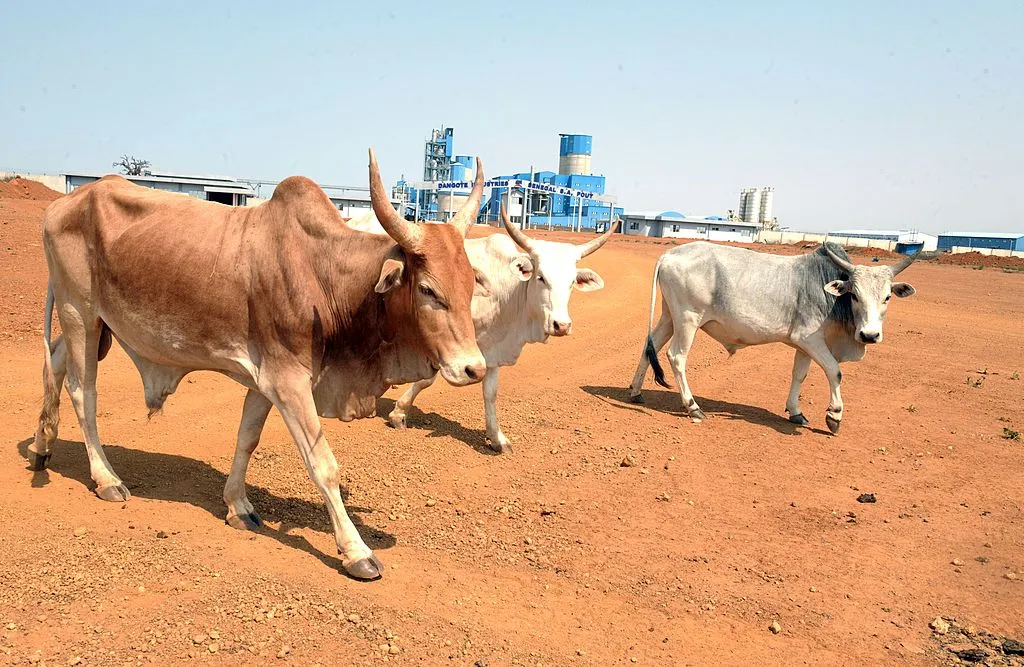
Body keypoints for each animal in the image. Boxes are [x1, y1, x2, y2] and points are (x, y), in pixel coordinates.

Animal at [29, 149, 488, 580]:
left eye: (470, 285)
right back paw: (106, 478)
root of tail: (65, 203)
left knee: (55, 362)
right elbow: (323, 465)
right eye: (428, 289)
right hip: (80, 313)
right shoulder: (289, 382)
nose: (474, 369)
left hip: (95, 326)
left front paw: (238, 506)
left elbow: (246, 439)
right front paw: (356, 550)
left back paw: (42, 446)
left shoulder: (264, 379)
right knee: (82, 393)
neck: (324, 278)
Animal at [346, 208, 618, 453]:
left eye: (572, 282)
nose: (561, 325)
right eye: (541, 277)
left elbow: (490, 392)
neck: (506, 293)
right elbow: (427, 379)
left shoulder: (489, 350)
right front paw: (399, 413)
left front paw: (497, 438)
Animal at [627, 241, 917, 433]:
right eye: (854, 295)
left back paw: (635, 392)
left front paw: (796, 412)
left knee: (649, 346)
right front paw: (834, 416)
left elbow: (799, 375)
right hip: (688, 320)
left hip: (669, 317)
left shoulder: (804, 345)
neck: (830, 292)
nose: (870, 334)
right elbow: (834, 371)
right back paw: (693, 407)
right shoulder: (810, 339)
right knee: (676, 357)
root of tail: (669, 254)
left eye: (887, 297)